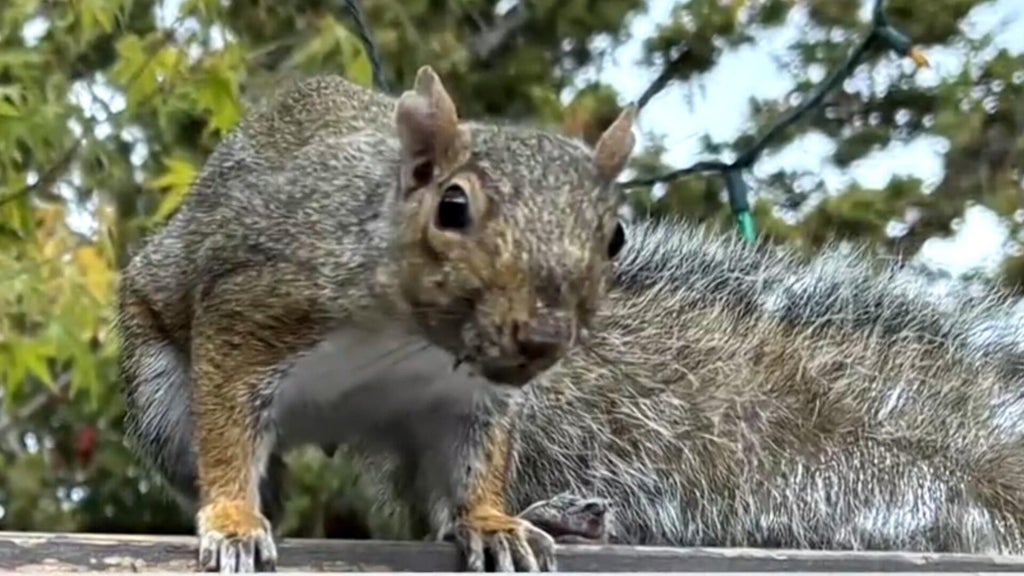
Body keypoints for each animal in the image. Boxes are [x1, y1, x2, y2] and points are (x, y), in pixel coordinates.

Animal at [115, 64, 637, 573]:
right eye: (452, 207)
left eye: (616, 236)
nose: (544, 336)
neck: (408, 333)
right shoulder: (253, 305)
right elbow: (228, 430)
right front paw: (233, 520)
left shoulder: (472, 398)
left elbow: (478, 461)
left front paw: (491, 522)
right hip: (161, 401)